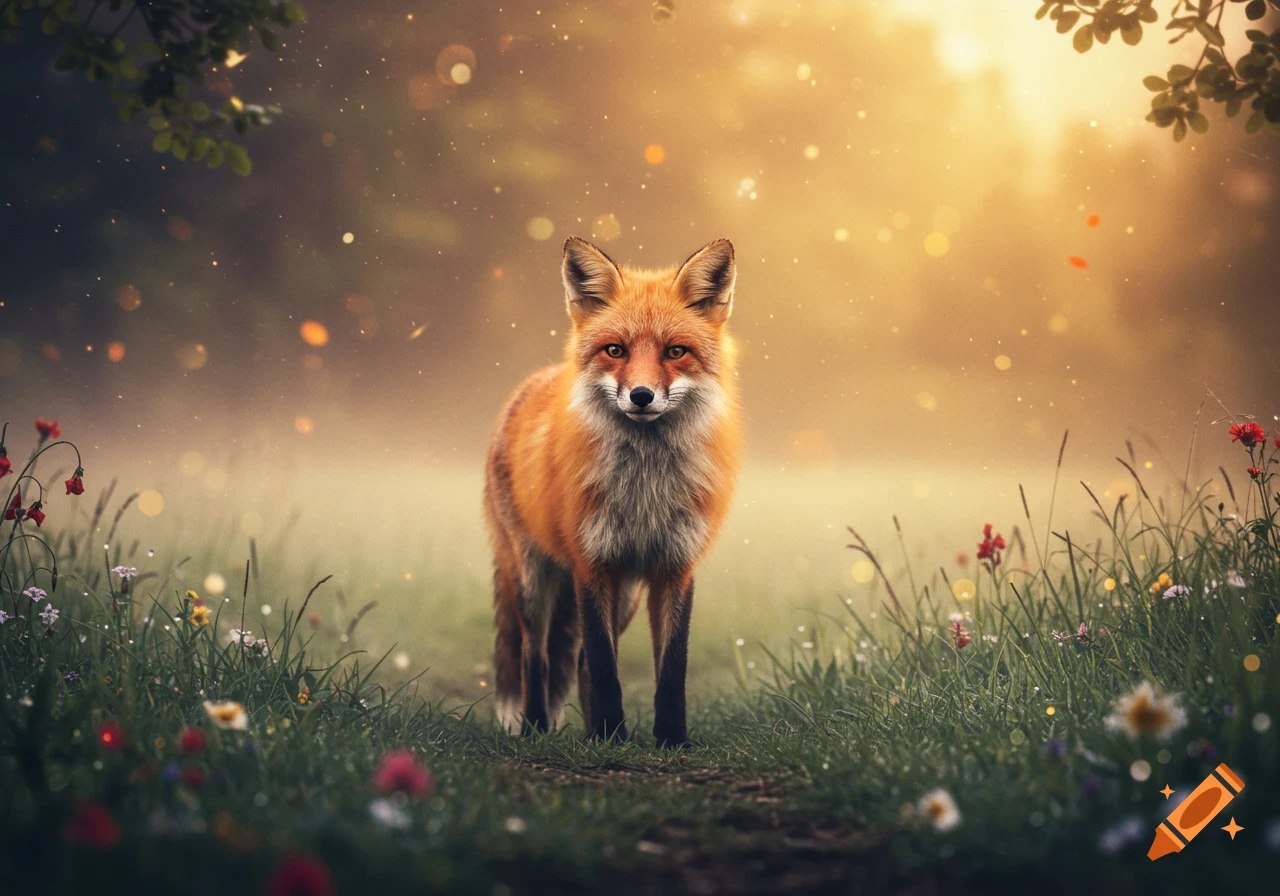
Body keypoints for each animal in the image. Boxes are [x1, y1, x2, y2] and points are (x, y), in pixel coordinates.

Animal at [482, 237, 741, 746]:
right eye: (615, 350)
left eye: (675, 351)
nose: (641, 395)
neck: (645, 492)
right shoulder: (592, 563)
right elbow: (604, 667)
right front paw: (609, 735)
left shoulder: (675, 565)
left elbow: (670, 668)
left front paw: (670, 739)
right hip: (534, 577)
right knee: (536, 657)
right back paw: (537, 726)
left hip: (626, 596)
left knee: (578, 658)